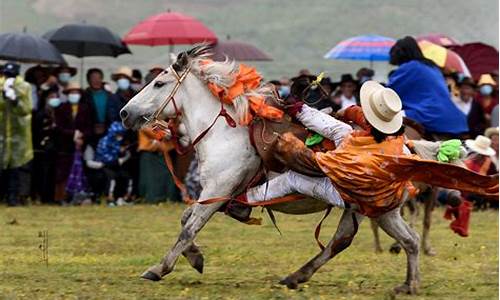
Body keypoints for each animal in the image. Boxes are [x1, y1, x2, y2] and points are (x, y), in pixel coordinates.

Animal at [121, 45, 422, 294]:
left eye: (159, 83)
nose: (125, 113)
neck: (222, 133)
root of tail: (406, 148)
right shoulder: (215, 195)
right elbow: (186, 219)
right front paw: (195, 258)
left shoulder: (218, 191)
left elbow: (189, 227)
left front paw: (159, 268)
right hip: (377, 210)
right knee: (405, 240)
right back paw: (405, 284)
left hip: (367, 207)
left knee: (351, 239)